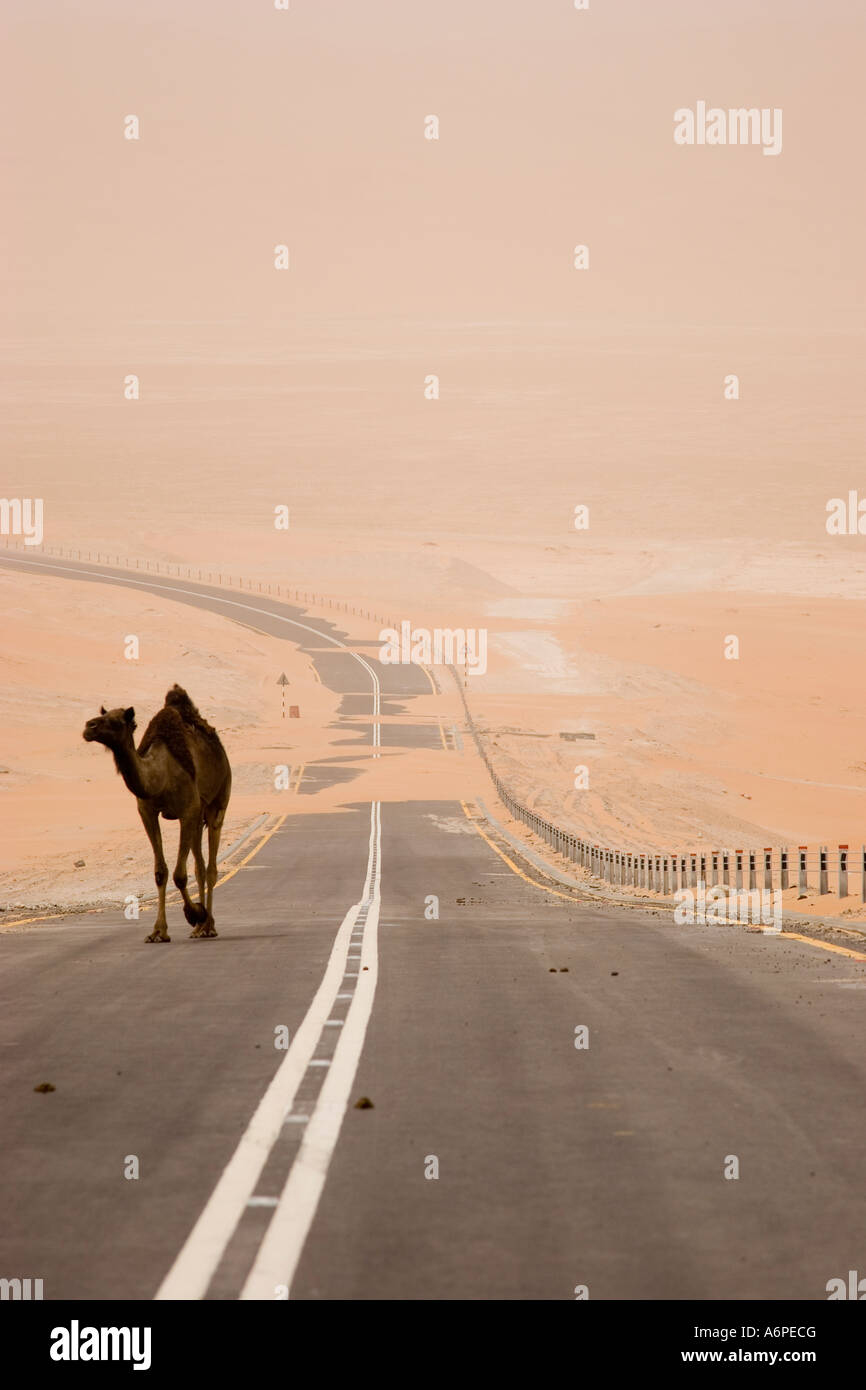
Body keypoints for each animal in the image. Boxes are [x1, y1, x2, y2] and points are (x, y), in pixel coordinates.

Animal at [82, 686, 232, 943]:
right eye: (103, 714)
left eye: (115, 721)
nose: (88, 726)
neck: (160, 776)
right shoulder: (147, 811)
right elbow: (161, 872)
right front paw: (158, 932)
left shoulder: (187, 809)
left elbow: (179, 875)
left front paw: (194, 913)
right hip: (197, 817)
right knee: (200, 866)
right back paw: (199, 929)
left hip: (218, 800)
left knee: (211, 865)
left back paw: (208, 925)